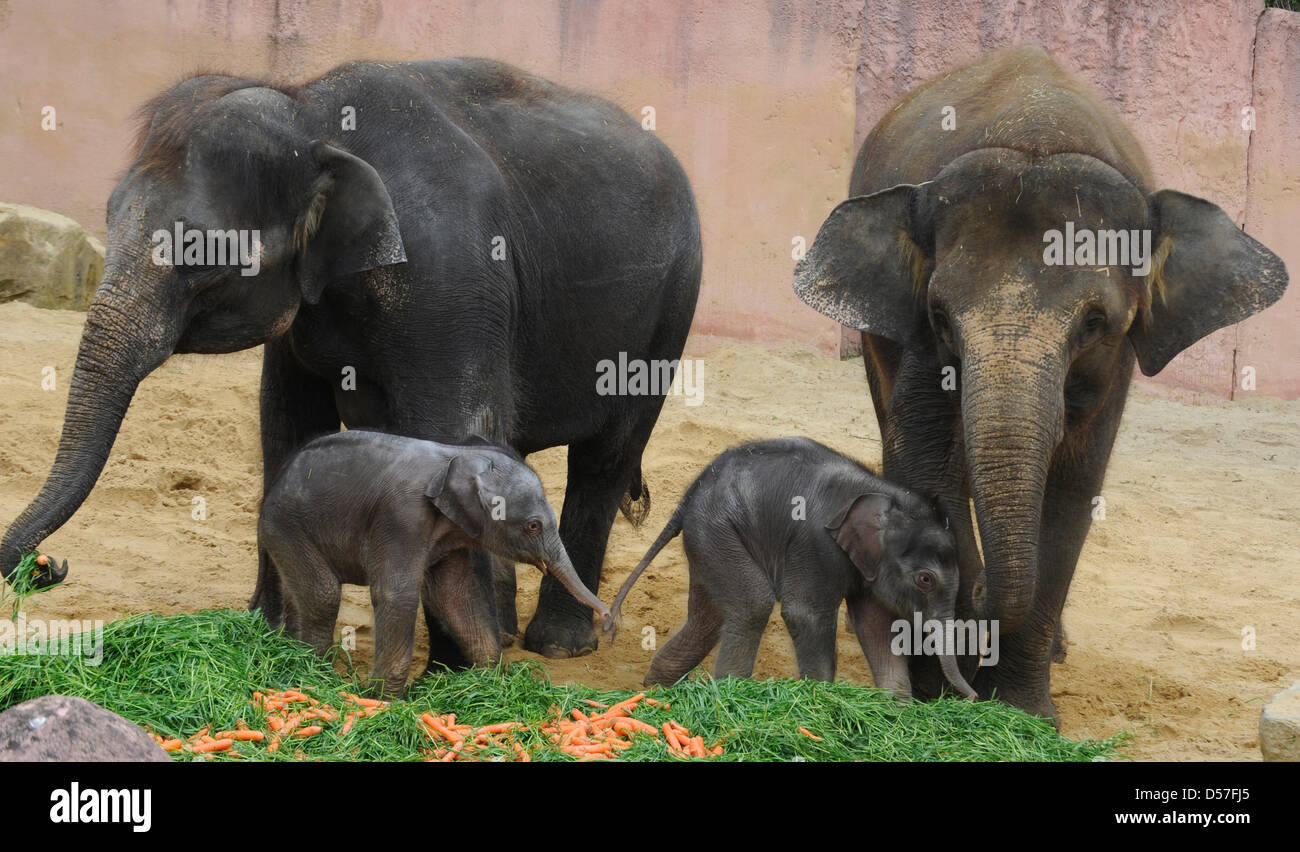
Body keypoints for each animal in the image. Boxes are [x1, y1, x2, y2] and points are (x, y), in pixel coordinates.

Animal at [0, 59, 701, 661]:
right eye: (110, 215)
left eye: (200, 254)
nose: (49, 566)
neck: (313, 115)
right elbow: (288, 426)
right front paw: (267, 633)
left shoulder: (452, 275)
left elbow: (453, 427)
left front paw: (458, 670)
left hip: (670, 311)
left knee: (604, 458)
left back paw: (557, 645)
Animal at [260, 431, 611, 697]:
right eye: (533, 526)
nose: (608, 619)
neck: (457, 457)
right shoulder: (401, 517)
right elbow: (396, 594)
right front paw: (384, 701)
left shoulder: (450, 535)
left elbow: (456, 597)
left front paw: (492, 684)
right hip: (286, 524)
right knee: (324, 593)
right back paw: (315, 677)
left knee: (300, 592)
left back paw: (289, 655)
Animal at [606, 437, 977, 699]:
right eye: (925, 579)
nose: (974, 698)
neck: (883, 492)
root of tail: (690, 495)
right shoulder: (814, 544)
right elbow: (806, 615)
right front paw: (821, 700)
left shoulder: (868, 566)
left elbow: (876, 627)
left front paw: (894, 712)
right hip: (718, 529)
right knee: (752, 606)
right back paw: (728, 695)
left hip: (708, 539)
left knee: (706, 619)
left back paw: (656, 691)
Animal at [793, 46, 1288, 721]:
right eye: (940, 315)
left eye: (1095, 322)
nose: (971, 593)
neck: (1037, 136)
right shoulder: (917, 334)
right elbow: (923, 457)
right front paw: (945, 684)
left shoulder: (1115, 363)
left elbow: (1076, 483)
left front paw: (1023, 713)